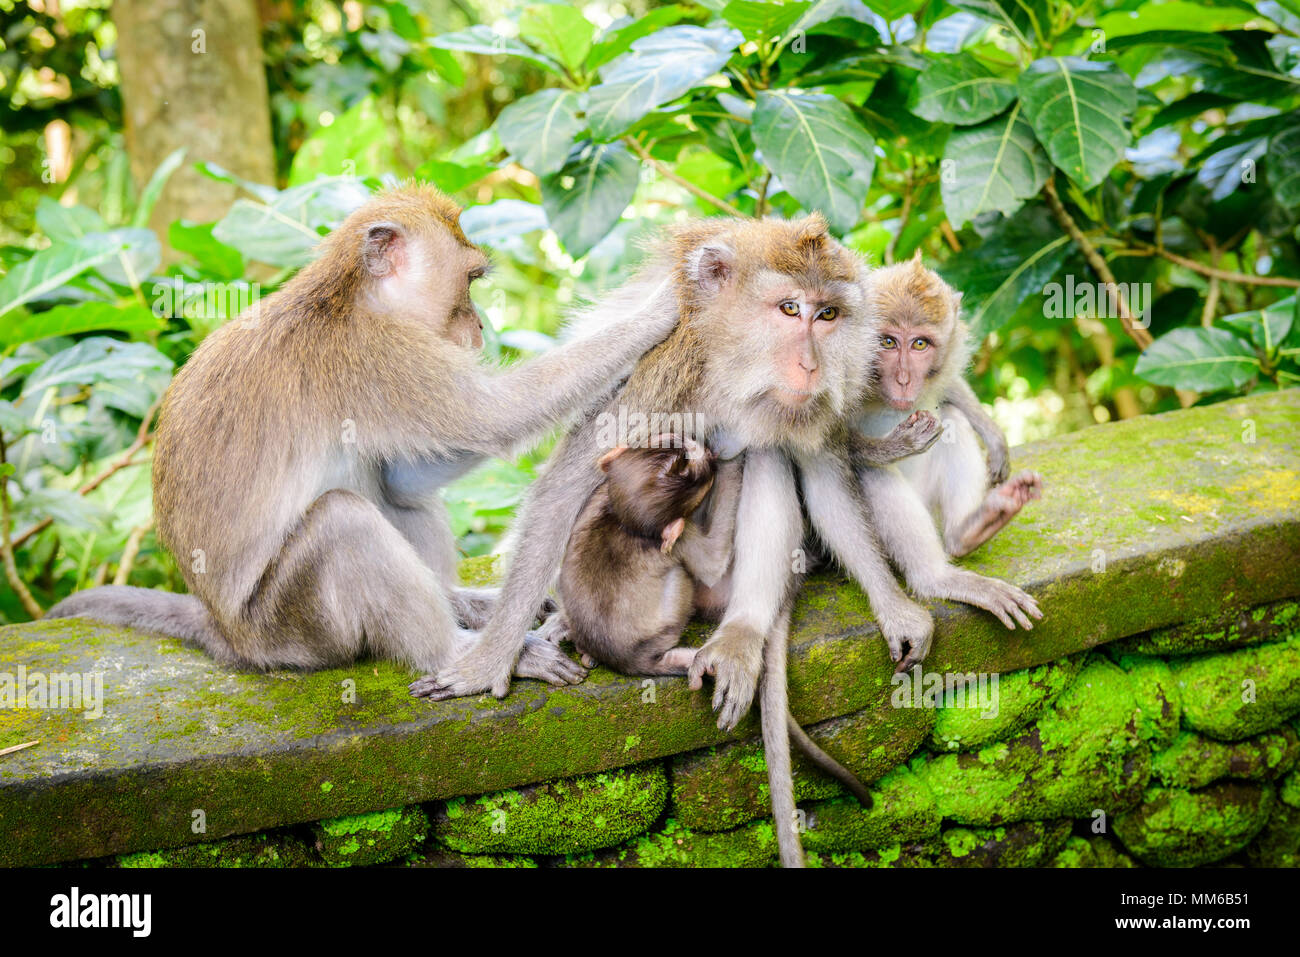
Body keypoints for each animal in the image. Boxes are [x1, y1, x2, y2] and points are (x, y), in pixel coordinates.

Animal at [45, 184, 681, 683]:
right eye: (470, 281)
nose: (479, 328)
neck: (349, 298)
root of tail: (226, 632)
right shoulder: (379, 356)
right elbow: (496, 417)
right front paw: (653, 314)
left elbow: (407, 470)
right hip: (291, 630)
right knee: (342, 524)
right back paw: (461, 654)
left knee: (398, 494)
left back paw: (460, 603)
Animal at [848, 253, 1043, 658]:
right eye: (887, 341)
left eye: (920, 344)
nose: (904, 380)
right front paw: (895, 446)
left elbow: (950, 397)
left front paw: (992, 433)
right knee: (870, 470)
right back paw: (936, 578)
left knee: (951, 419)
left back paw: (970, 530)